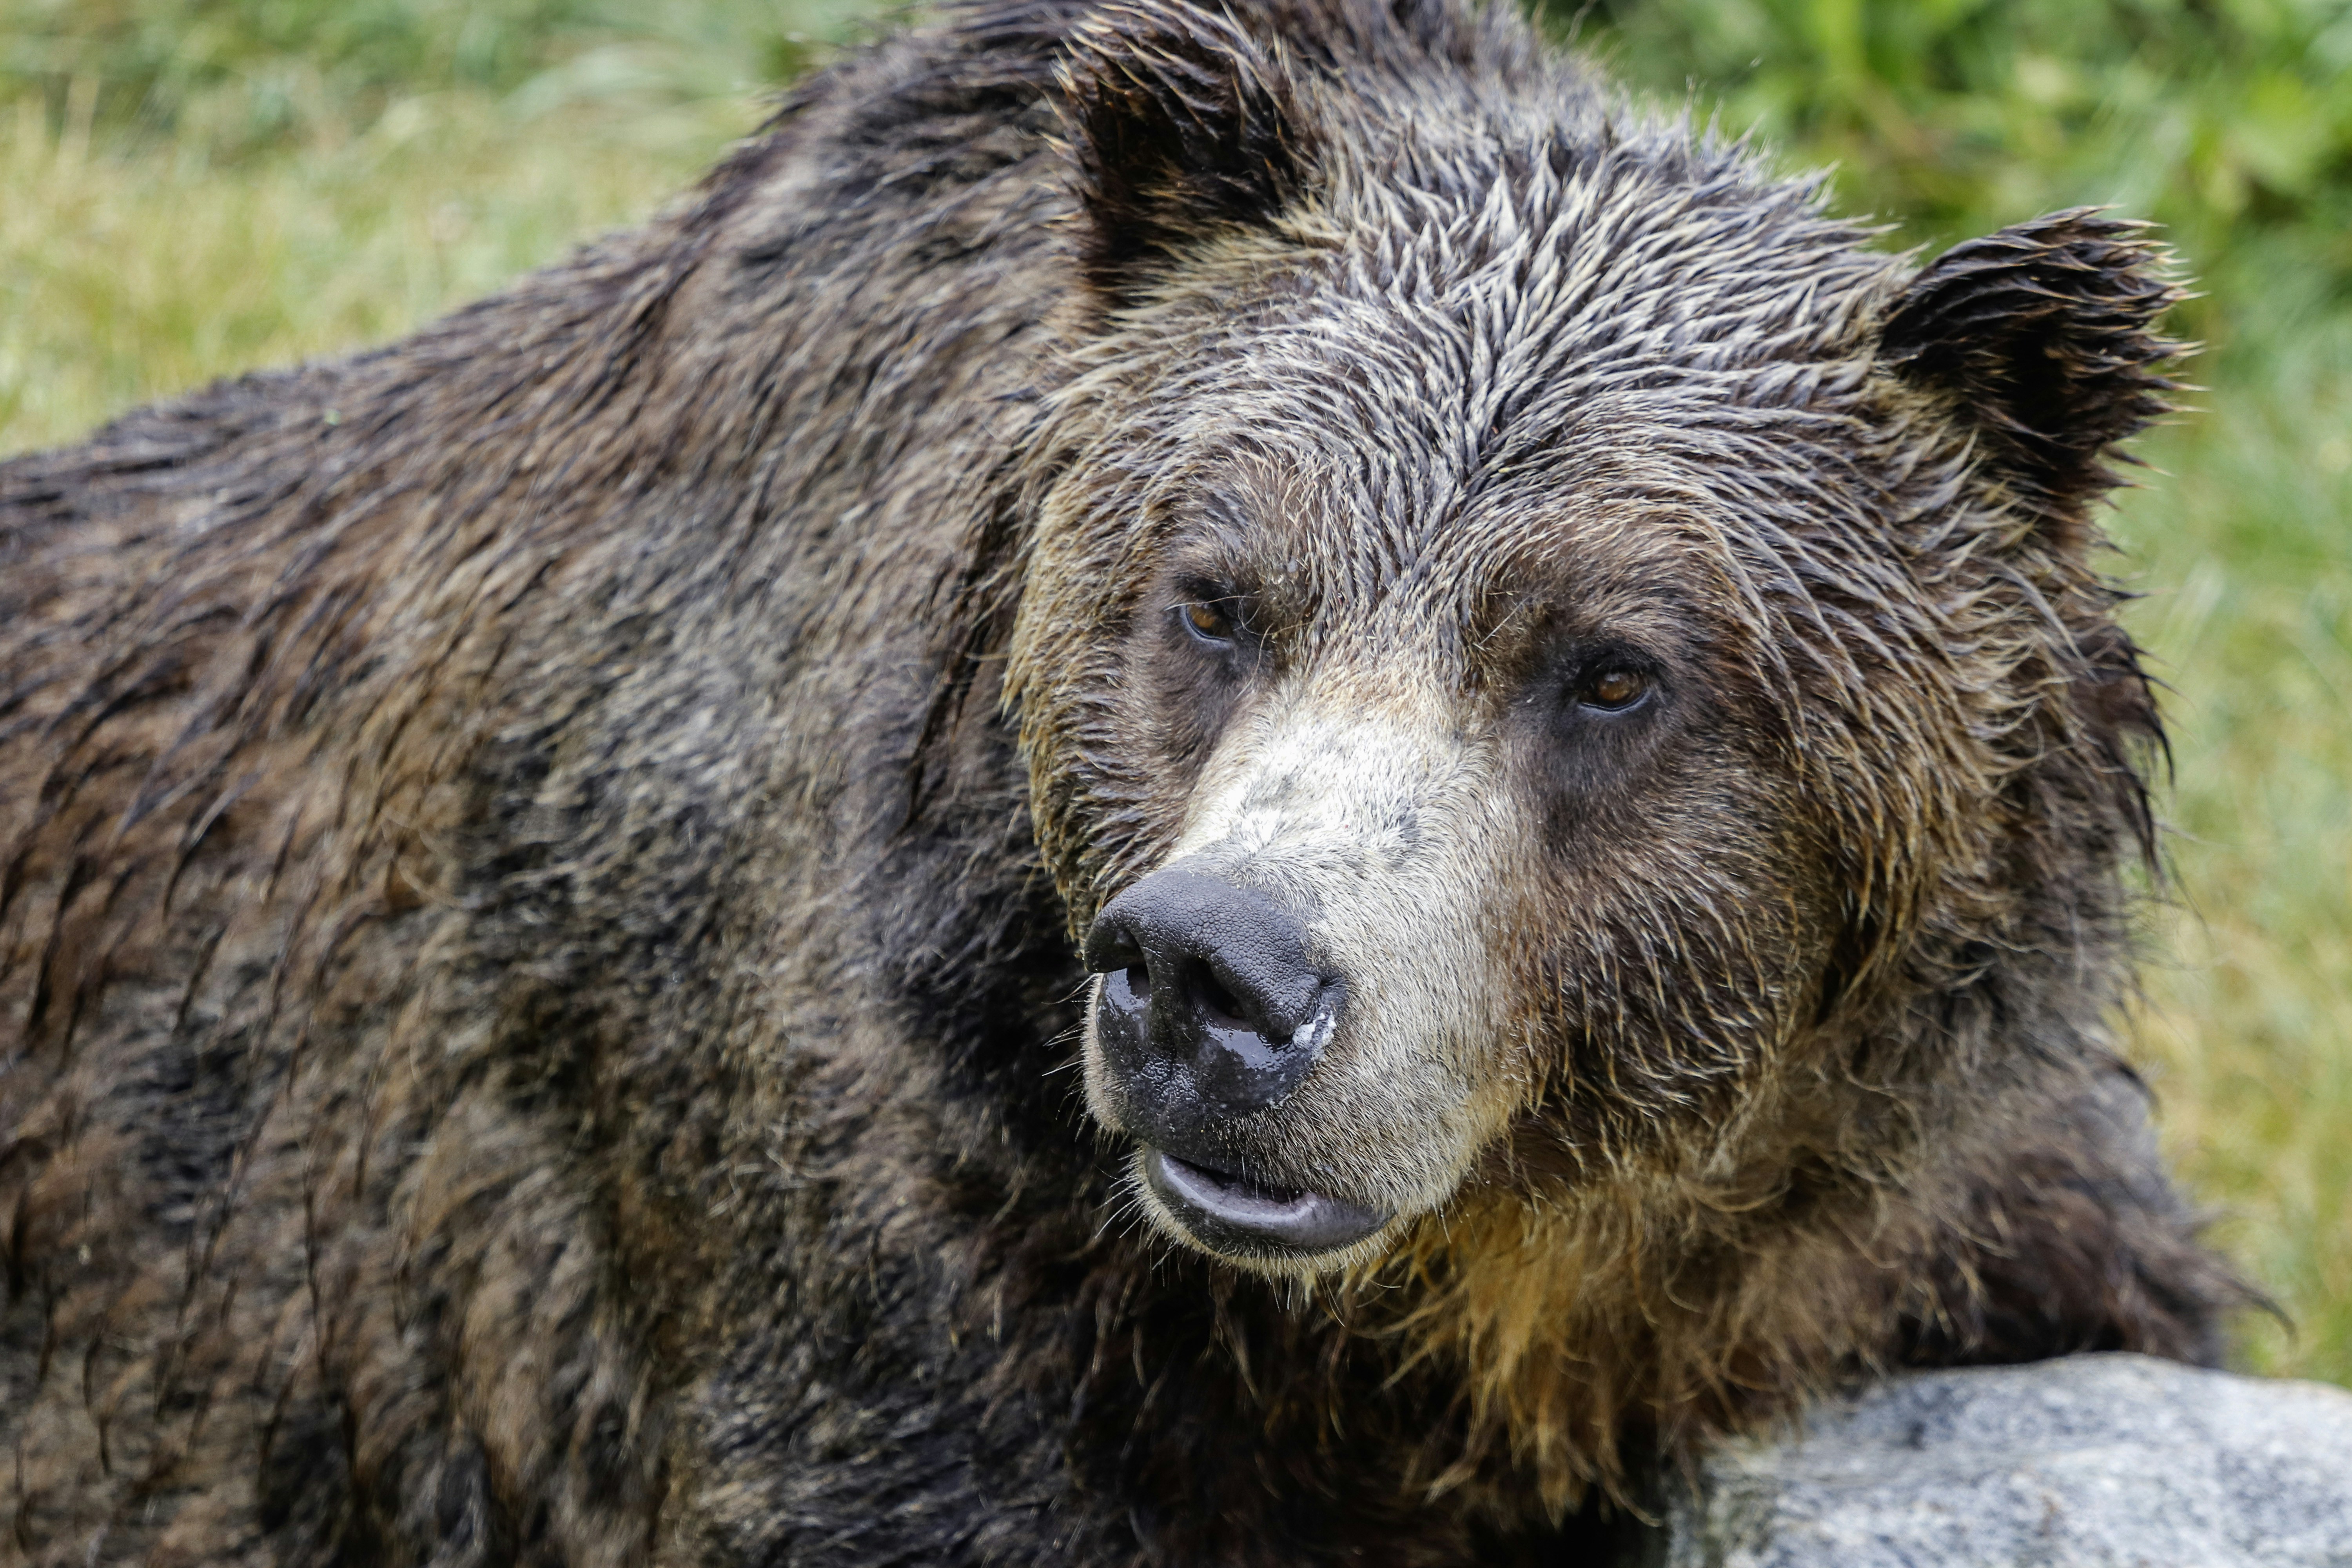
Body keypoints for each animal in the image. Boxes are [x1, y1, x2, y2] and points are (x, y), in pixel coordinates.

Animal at [0, 0, 2249, 1562]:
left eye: (1612, 669)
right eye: (1216, 599)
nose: (1216, 976)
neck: (1471, 1313)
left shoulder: (1916, 1213)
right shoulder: (887, 1267)